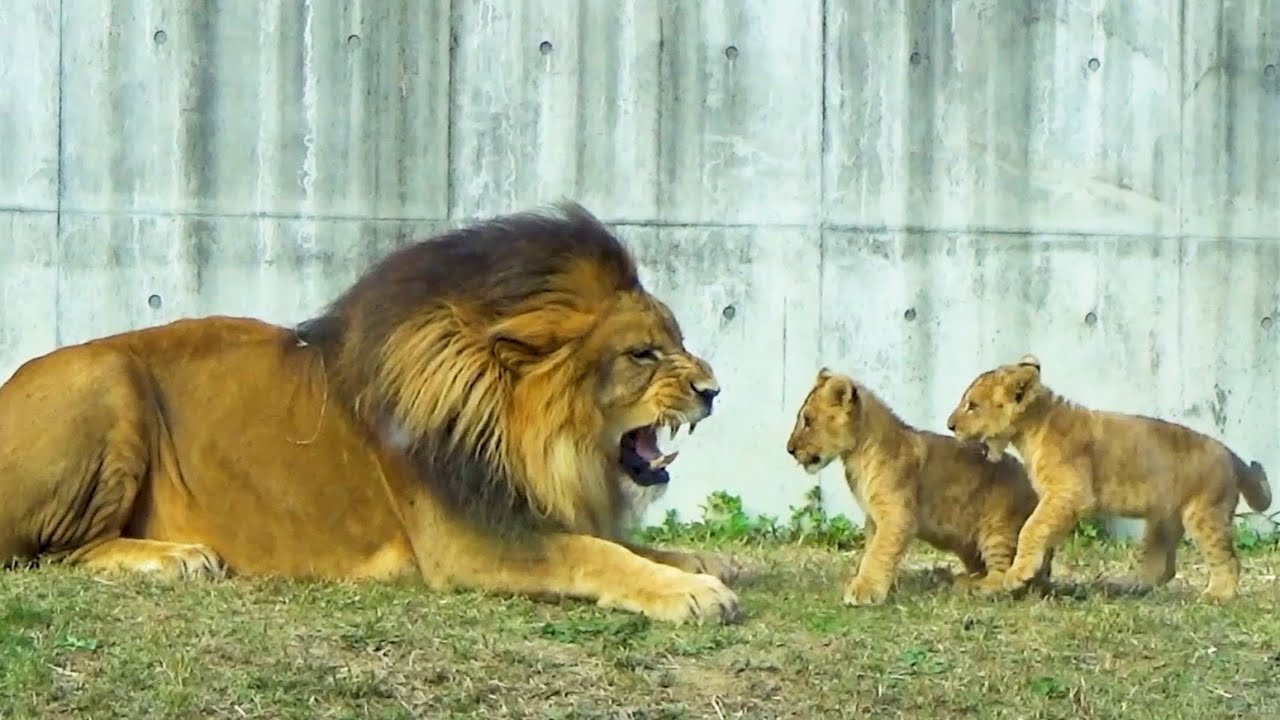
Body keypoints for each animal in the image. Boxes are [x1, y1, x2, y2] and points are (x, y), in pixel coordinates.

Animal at [0, 202, 744, 624]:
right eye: (644, 353)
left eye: (677, 341)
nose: (714, 389)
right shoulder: (471, 542)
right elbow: (597, 553)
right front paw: (693, 594)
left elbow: (631, 543)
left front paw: (712, 564)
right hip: (105, 378)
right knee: (54, 553)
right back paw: (176, 558)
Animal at [785, 368, 1049, 605]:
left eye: (808, 421)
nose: (789, 449)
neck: (856, 456)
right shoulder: (874, 518)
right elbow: (873, 551)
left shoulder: (896, 514)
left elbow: (879, 552)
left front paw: (864, 592)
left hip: (998, 529)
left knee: (1007, 575)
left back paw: (975, 586)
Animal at [946, 354, 1273, 601]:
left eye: (972, 406)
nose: (950, 426)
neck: (1032, 431)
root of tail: (1231, 453)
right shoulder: (1057, 500)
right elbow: (1041, 529)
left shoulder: (1070, 493)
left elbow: (1032, 527)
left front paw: (1017, 573)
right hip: (1163, 519)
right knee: (1162, 567)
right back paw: (1127, 588)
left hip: (1205, 513)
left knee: (1227, 558)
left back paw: (1218, 595)